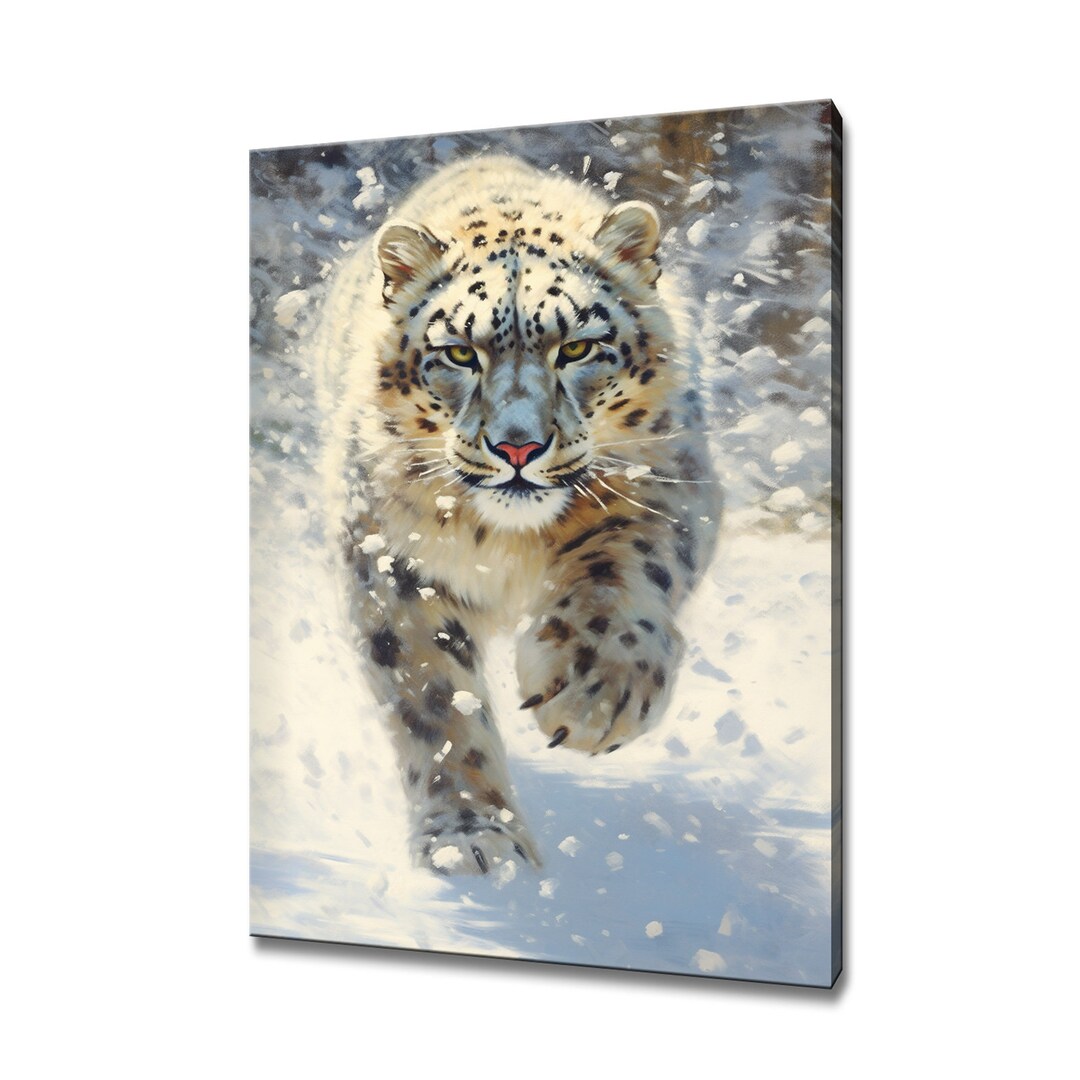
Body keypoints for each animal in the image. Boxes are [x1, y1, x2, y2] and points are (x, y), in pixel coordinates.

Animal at [317, 155, 720, 876]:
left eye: (578, 349)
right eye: (458, 352)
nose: (517, 447)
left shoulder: (669, 484)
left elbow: (620, 569)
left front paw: (594, 692)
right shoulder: (389, 560)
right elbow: (432, 697)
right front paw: (470, 837)